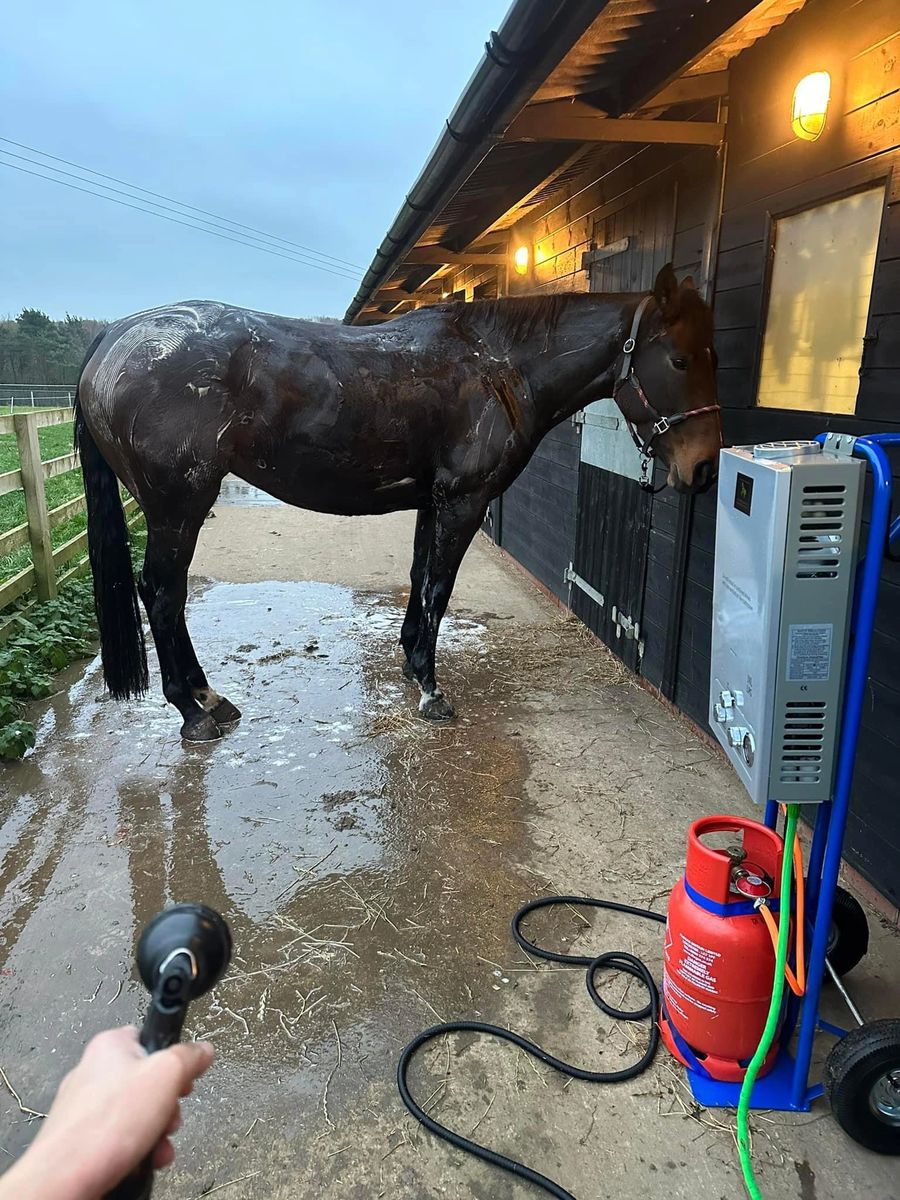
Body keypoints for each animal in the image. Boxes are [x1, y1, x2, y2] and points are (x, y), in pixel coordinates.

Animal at [74, 263, 721, 742]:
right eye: (680, 359)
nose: (704, 469)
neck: (497, 365)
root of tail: (115, 336)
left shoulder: (433, 502)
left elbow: (419, 579)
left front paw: (413, 664)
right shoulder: (462, 502)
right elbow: (438, 588)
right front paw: (431, 690)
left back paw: (210, 698)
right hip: (177, 508)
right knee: (162, 593)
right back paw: (192, 711)